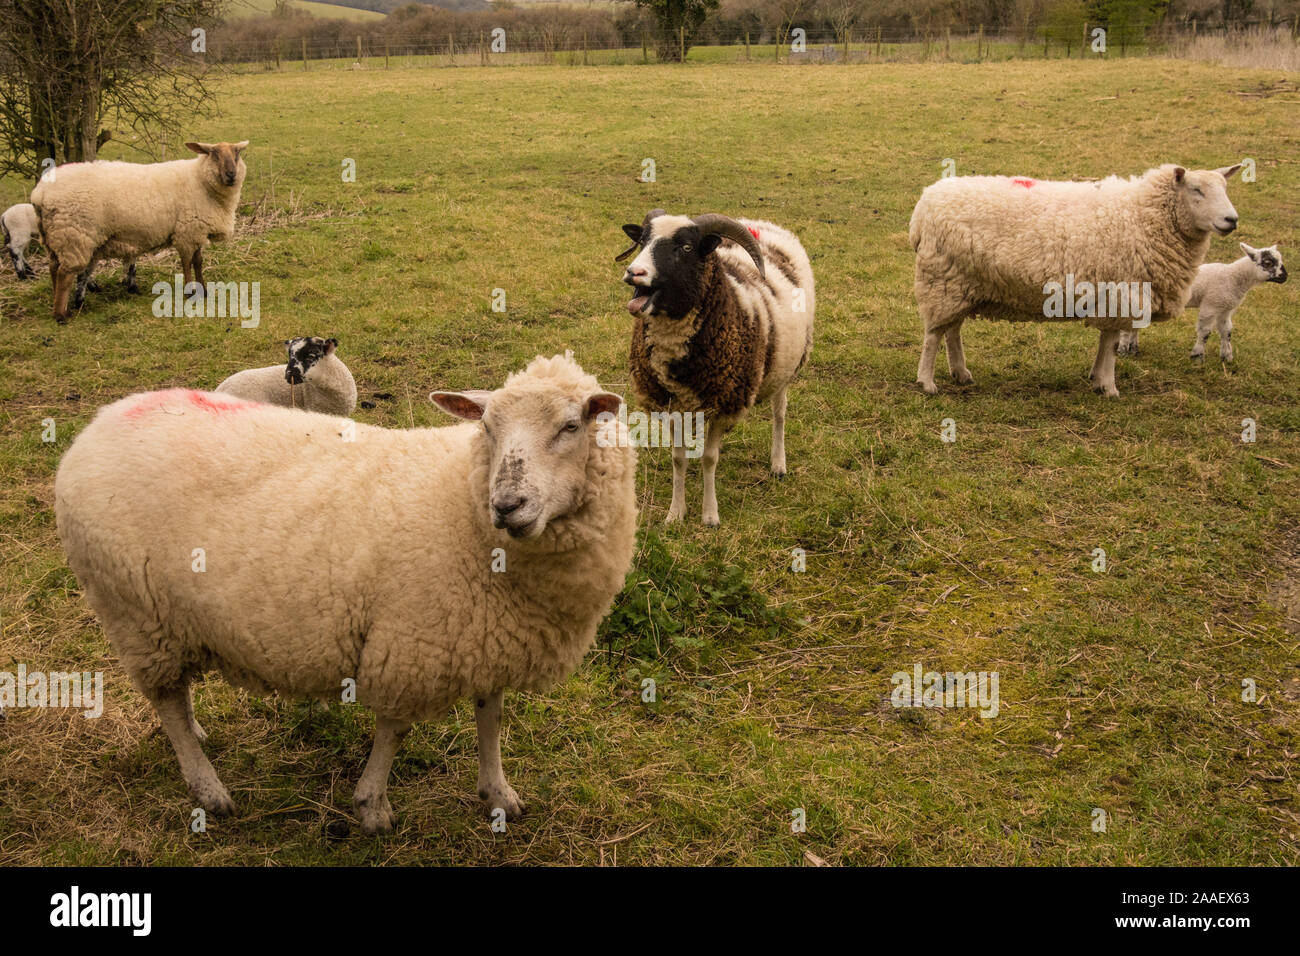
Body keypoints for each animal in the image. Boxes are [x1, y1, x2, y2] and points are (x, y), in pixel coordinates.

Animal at [30, 140, 248, 323]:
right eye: (214, 154)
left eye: (237, 154)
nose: (231, 174)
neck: (199, 180)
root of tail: (40, 194)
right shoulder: (187, 232)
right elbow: (187, 263)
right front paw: (190, 292)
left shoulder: (197, 231)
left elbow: (198, 262)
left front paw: (203, 290)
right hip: (73, 236)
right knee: (64, 274)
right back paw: (61, 315)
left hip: (56, 238)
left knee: (53, 268)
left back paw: (59, 303)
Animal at [54, 353, 636, 833]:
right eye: (488, 427)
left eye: (571, 426)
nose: (507, 505)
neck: (460, 504)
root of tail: (99, 425)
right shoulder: (411, 642)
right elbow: (394, 729)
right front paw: (372, 805)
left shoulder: (483, 638)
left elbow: (490, 718)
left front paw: (498, 794)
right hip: (135, 610)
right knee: (166, 698)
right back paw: (208, 787)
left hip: (165, 619)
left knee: (176, 697)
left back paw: (196, 734)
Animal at [616, 209, 814, 526]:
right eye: (643, 241)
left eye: (686, 248)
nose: (634, 273)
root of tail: (760, 223)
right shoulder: (671, 404)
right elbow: (678, 459)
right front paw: (676, 513)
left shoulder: (725, 404)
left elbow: (710, 459)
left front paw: (710, 515)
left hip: (786, 368)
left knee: (779, 415)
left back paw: (778, 464)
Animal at [910, 163, 1241, 397]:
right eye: (1196, 189)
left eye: (1226, 188)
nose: (1232, 220)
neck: (1144, 215)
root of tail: (923, 207)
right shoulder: (1117, 294)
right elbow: (1111, 344)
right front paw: (1109, 387)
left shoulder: (1109, 297)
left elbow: (1106, 341)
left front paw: (1097, 379)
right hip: (944, 279)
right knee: (933, 335)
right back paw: (927, 382)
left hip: (964, 284)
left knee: (952, 330)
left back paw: (961, 373)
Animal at [1117, 243, 1287, 362]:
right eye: (1267, 262)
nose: (1285, 276)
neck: (1233, 277)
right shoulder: (1211, 305)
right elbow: (1205, 332)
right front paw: (1197, 356)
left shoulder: (1225, 309)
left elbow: (1227, 331)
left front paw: (1227, 357)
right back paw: (1123, 350)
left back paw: (1133, 349)